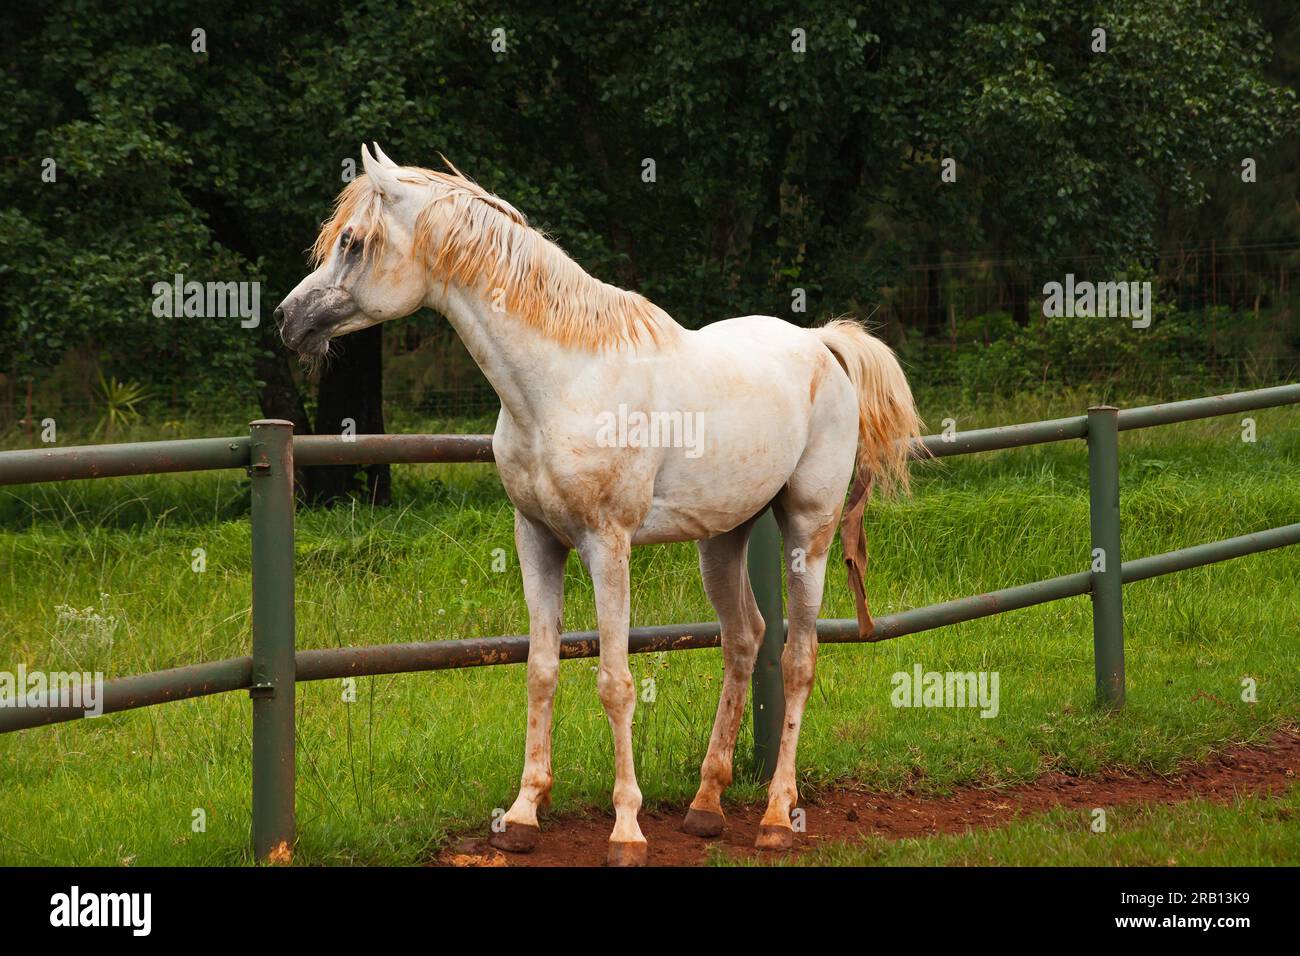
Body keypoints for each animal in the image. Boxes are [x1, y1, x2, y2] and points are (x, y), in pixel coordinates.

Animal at [275, 144, 922, 866]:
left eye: (353, 242)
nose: (286, 319)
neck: (560, 383)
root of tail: (821, 344)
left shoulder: (607, 546)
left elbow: (615, 682)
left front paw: (626, 830)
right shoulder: (536, 539)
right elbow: (541, 669)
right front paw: (524, 815)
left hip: (808, 530)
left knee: (798, 658)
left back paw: (777, 816)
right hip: (722, 539)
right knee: (745, 640)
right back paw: (705, 806)